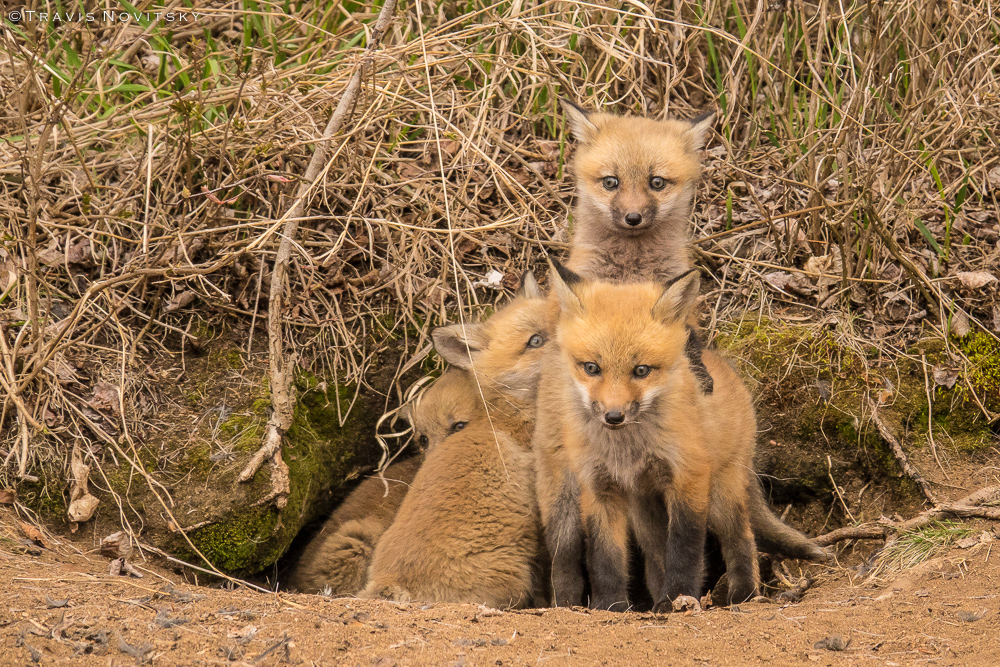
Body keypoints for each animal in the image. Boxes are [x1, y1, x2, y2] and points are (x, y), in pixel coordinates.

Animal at [547, 263, 764, 609]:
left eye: (641, 370)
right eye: (591, 368)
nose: (613, 416)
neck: (628, 451)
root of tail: (724, 365)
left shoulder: (689, 477)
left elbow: (685, 549)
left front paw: (679, 598)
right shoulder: (598, 488)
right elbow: (605, 557)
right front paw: (610, 605)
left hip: (720, 497)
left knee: (741, 537)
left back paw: (743, 594)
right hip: (646, 512)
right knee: (657, 553)